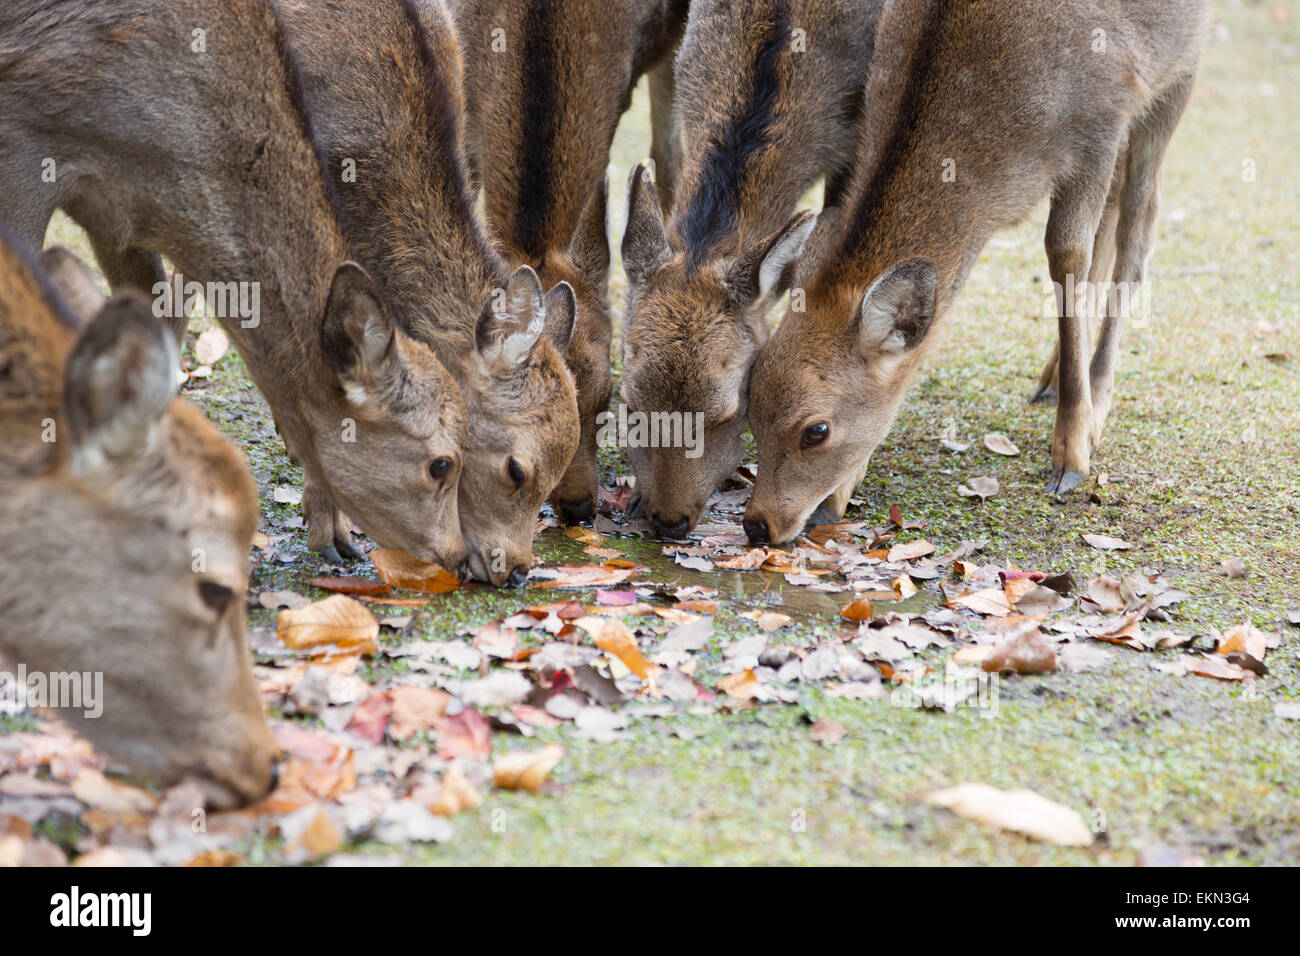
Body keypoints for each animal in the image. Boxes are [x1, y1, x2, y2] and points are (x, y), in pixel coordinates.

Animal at [744, 0, 1209, 546]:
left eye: (816, 430)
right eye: (749, 401)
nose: (758, 524)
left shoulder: (1104, 116)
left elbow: (1068, 252)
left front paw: (1072, 455)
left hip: (1182, 69)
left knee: (1140, 220)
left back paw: (1096, 396)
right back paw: (1054, 377)